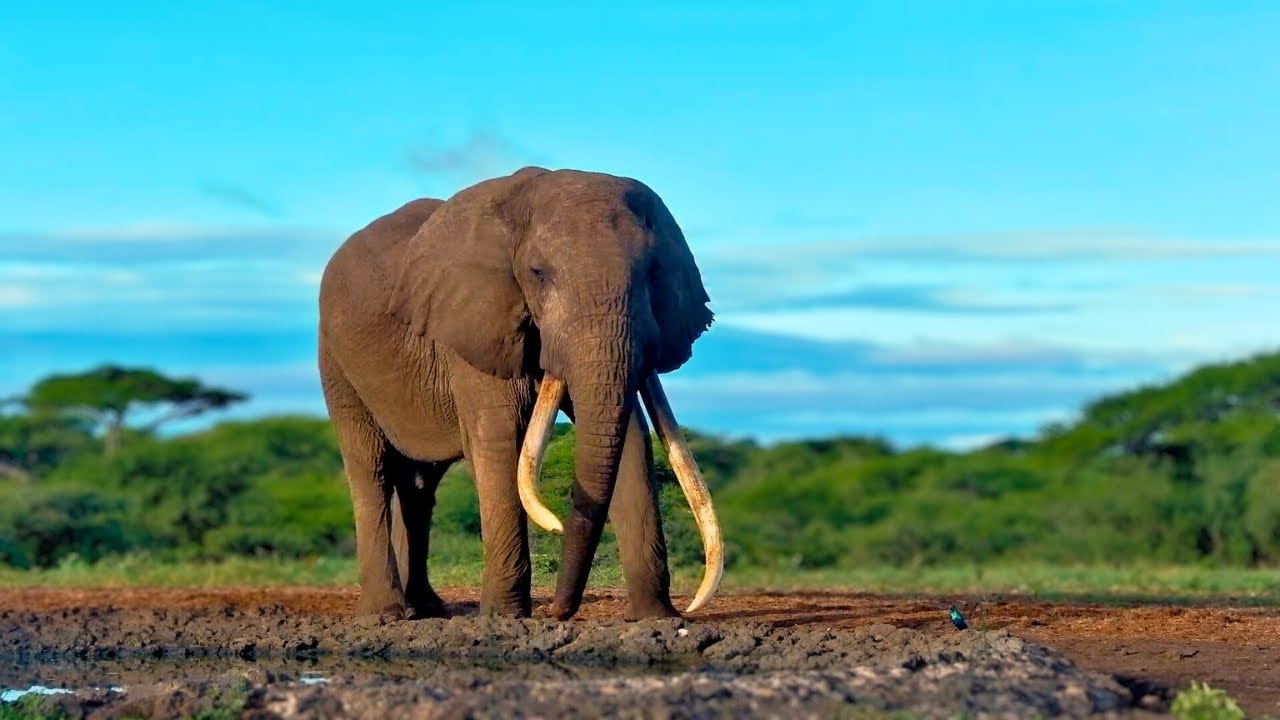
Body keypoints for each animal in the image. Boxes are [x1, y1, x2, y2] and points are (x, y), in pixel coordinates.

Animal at [317, 166, 723, 621]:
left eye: (653, 273)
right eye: (537, 273)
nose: (557, 612)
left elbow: (632, 438)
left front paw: (655, 618)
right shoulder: (474, 325)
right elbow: (499, 438)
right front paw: (504, 617)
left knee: (420, 487)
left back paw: (427, 608)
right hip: (336, 361)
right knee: (370, 466)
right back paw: (386, 614)